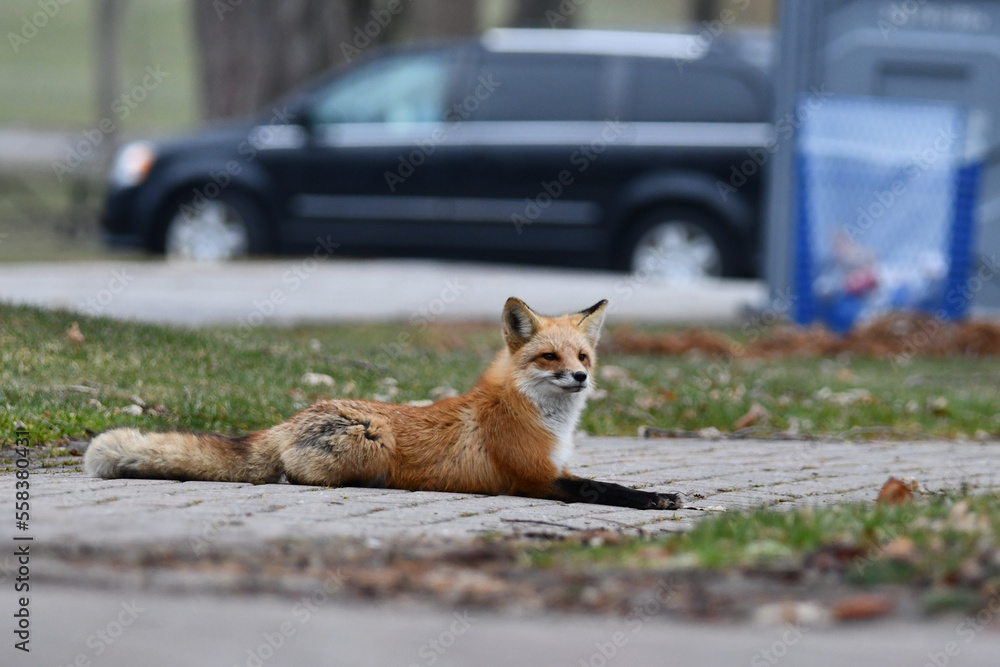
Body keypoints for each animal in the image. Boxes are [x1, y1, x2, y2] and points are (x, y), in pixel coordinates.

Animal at [84, 297, 681, 510]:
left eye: (583, 355)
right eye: (548, 357)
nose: (580, 377)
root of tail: (286, 421)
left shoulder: (553, 469)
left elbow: (602, 482)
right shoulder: (531, 478)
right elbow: (602, 489)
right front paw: (655, 499)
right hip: (373, 440)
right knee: (292, 475)